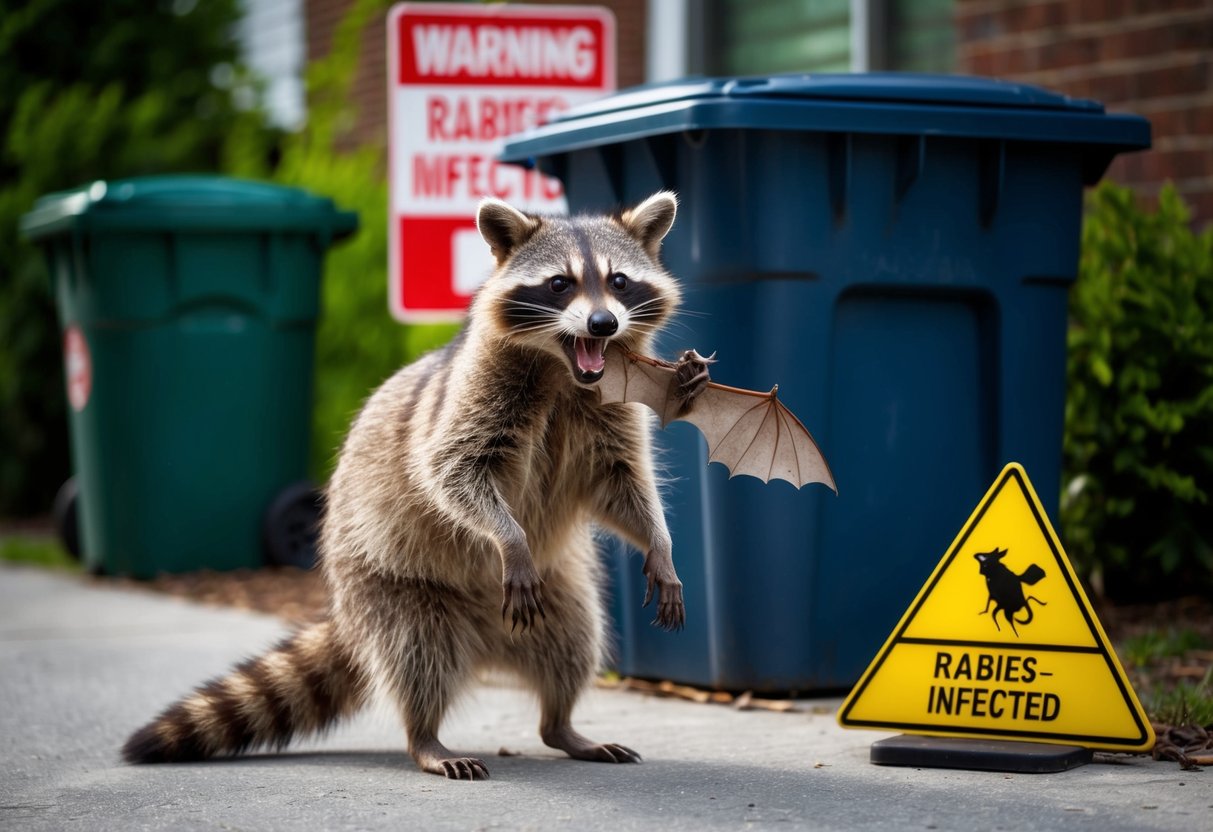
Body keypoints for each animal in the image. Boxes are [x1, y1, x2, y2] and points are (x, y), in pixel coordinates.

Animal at [122, 192, 692, 780]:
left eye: (619, 281)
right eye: (560, 283)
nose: (602, 324)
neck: (561, 367)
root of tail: (488, 639)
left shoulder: (611, 414)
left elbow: (623, 486)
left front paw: (660, 541)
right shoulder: (471, 400)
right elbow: (452, 473)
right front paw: (509, 537)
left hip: (557, 590)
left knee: (573, 642)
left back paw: (561, 725)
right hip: (389, 584)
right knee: (418, 656)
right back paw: (426, 735)